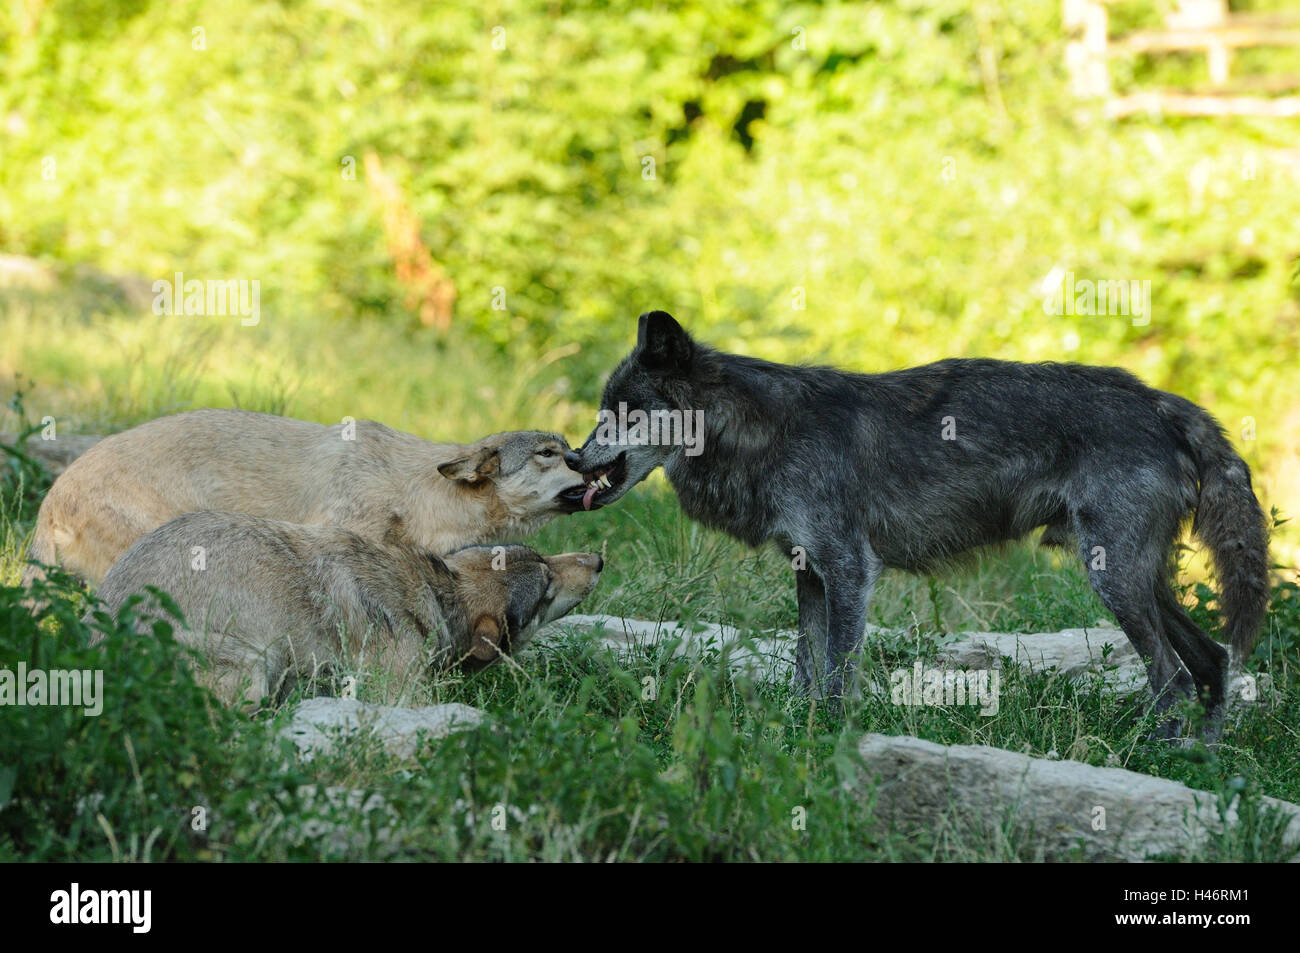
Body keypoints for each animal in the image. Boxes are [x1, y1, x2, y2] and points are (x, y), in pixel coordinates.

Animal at [90, 510, 604, 706]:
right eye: (546, 589)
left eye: (544, 558)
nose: (599, 560)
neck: (437, 593)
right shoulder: (399, 695)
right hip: (256, 663)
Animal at [566, 311, 1270, 739]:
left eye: (621, 412)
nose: (572, 457)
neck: (761, 429)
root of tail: (1163, 401)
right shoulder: (812, 575)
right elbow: (804, 668)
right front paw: (798, 732)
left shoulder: (850, 571)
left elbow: (837, 673)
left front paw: (831, 739)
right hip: (1137, 581)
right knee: (1211, 661)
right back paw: (1202, 767)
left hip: (1115, 581)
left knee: (1173, 679)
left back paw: (1157, 759)